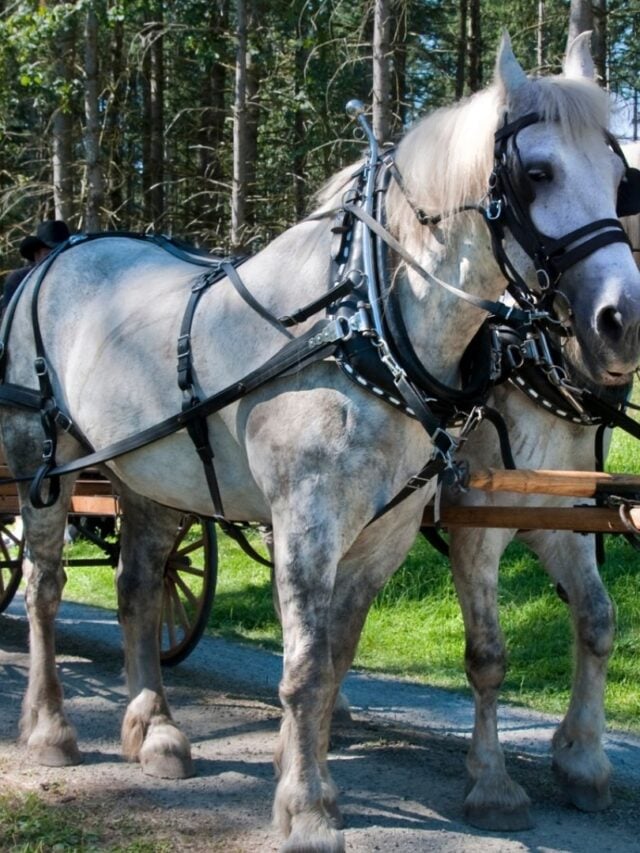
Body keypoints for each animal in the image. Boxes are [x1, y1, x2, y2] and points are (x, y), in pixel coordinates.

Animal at [2, 33, 640, 852]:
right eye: (537, 173)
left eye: (620, 183)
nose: (620, 322)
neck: (365, 325)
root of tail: (57, 248)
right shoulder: (321, 520)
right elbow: (316, 667)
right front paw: (309, 805)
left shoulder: (409, 528)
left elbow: (341, 655)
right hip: (39, 456)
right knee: (45, 589)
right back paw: (51, 729)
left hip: (149, 476)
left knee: (138, 588)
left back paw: (157, 732)